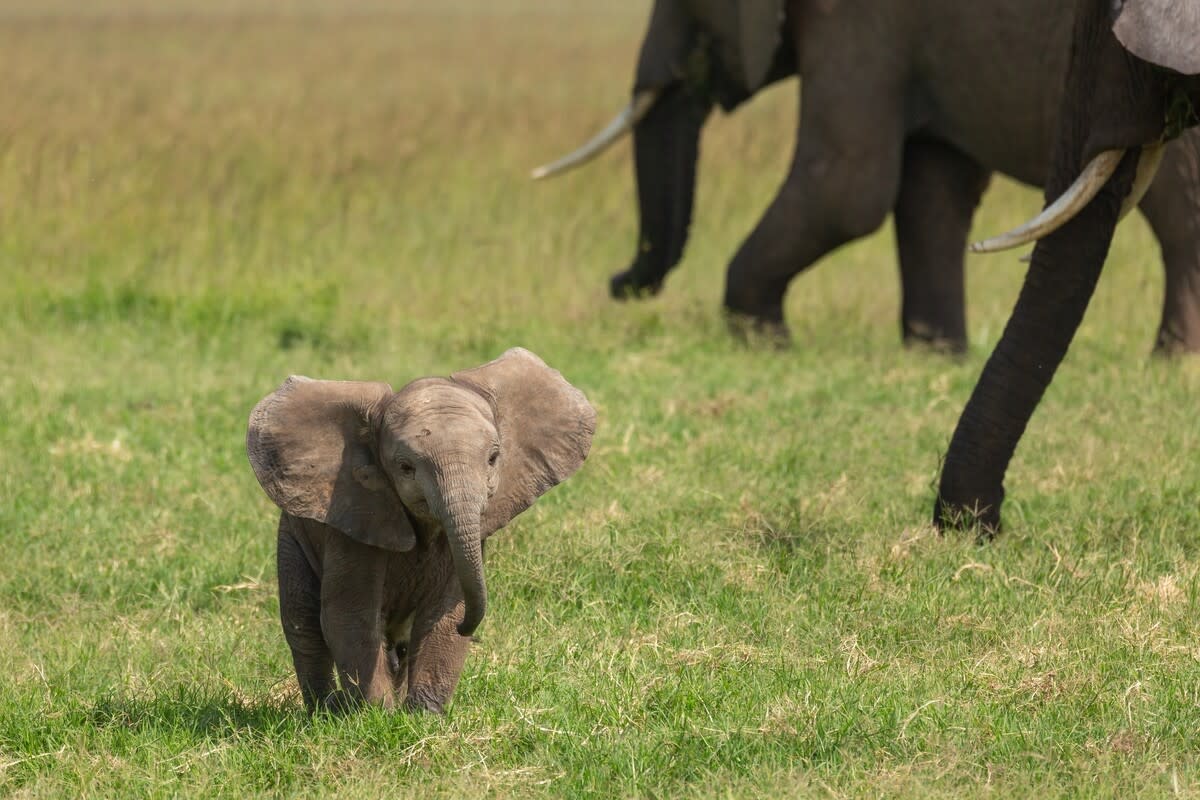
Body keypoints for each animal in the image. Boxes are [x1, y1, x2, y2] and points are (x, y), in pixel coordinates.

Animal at [246, 348, 596, 712]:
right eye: (405, 468)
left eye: (493, 459)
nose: (471, 629)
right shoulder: (356, 516)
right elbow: (350, 613)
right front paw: (378, 716)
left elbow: (446, 609)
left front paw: (422, 715)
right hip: (292, 535)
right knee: (304, 624)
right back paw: (324, 709)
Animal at [534, 0, 1200, 355]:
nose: (617, 281)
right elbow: (932, 193)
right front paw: (935, 355)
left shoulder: (858, 21)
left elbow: (845, 187)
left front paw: (767, 342)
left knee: (1178, 216)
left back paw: (1172, 361)